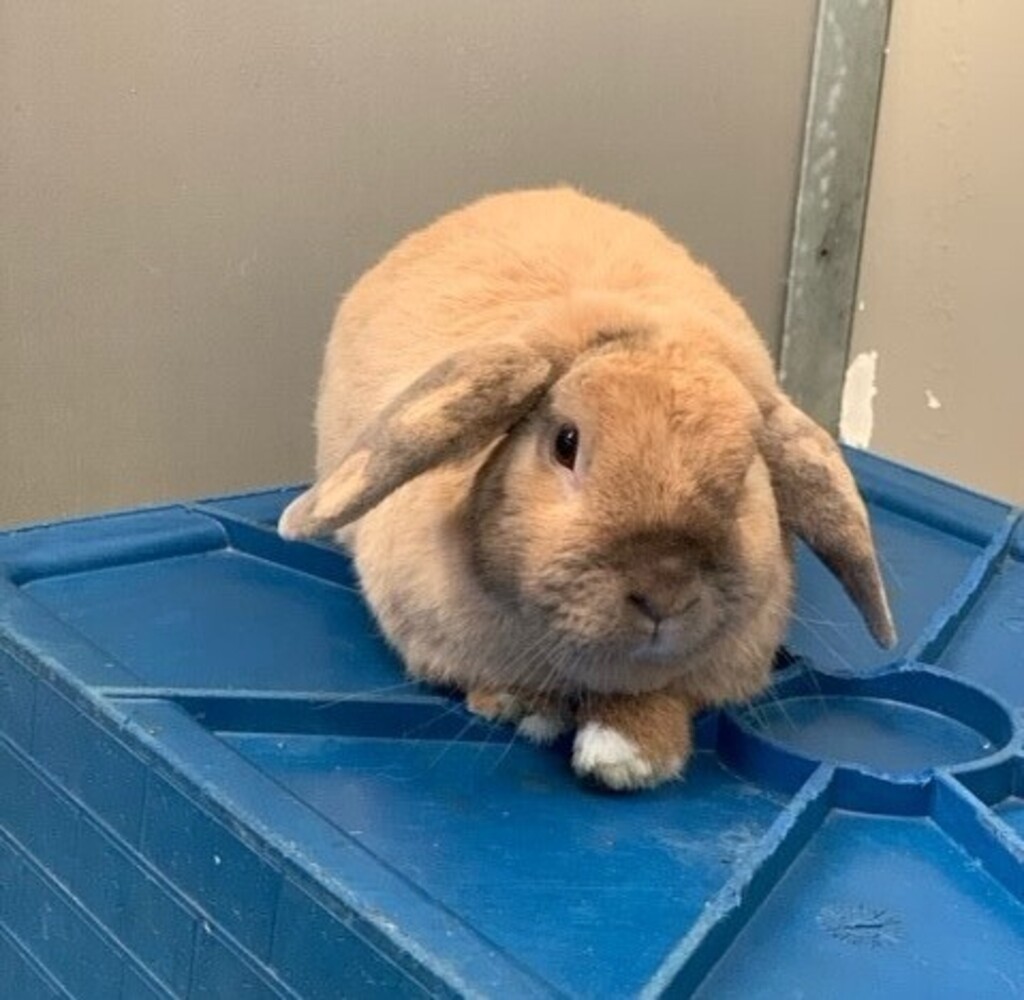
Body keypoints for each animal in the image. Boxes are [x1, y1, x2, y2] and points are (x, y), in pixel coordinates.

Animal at [279, 188, 895, 791]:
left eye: (745, 473)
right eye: (565, 444)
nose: (665, 591)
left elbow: (662, 698)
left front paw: (626, 754)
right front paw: (524, 707)